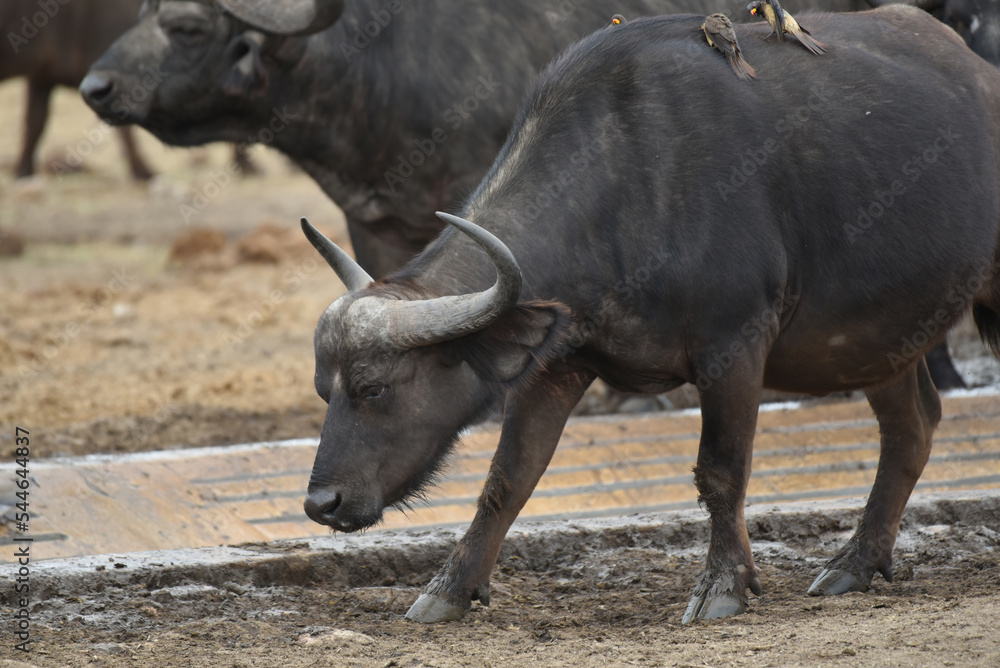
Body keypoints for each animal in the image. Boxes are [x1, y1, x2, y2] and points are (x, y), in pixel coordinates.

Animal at [299, 6, 1000, 624]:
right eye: (324, 389)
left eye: (373, 387)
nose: (321, 503)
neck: (625, 182)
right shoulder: (558, 363)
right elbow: (508, 478)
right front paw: (448, 590)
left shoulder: (734, 347)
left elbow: (721, 471)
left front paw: (722, 587)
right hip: (877, 338)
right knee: (912, 428)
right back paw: (854, 563)